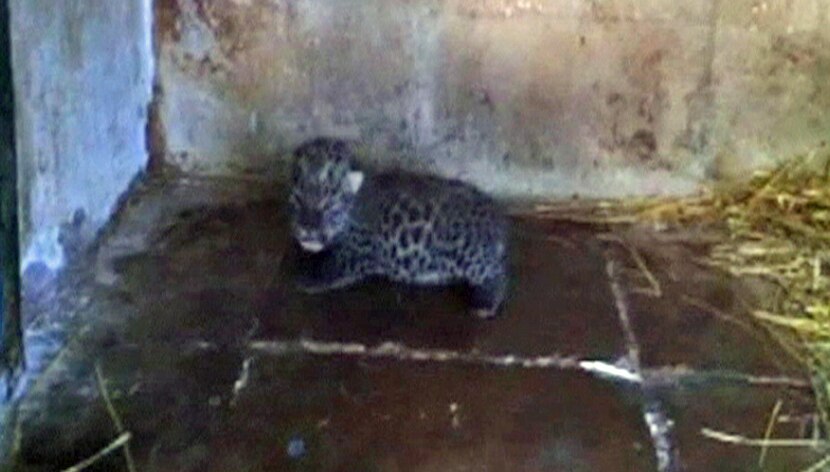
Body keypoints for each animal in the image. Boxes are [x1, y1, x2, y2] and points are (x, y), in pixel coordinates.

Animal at [288, 137, 509, 318]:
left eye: (328, 206)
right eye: (297, 200)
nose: (307, 229)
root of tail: (498, 217)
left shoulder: (358, 251)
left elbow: (333, 266)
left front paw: (309, 279)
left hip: (463, 249)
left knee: (497, 273)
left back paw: (485, 302)